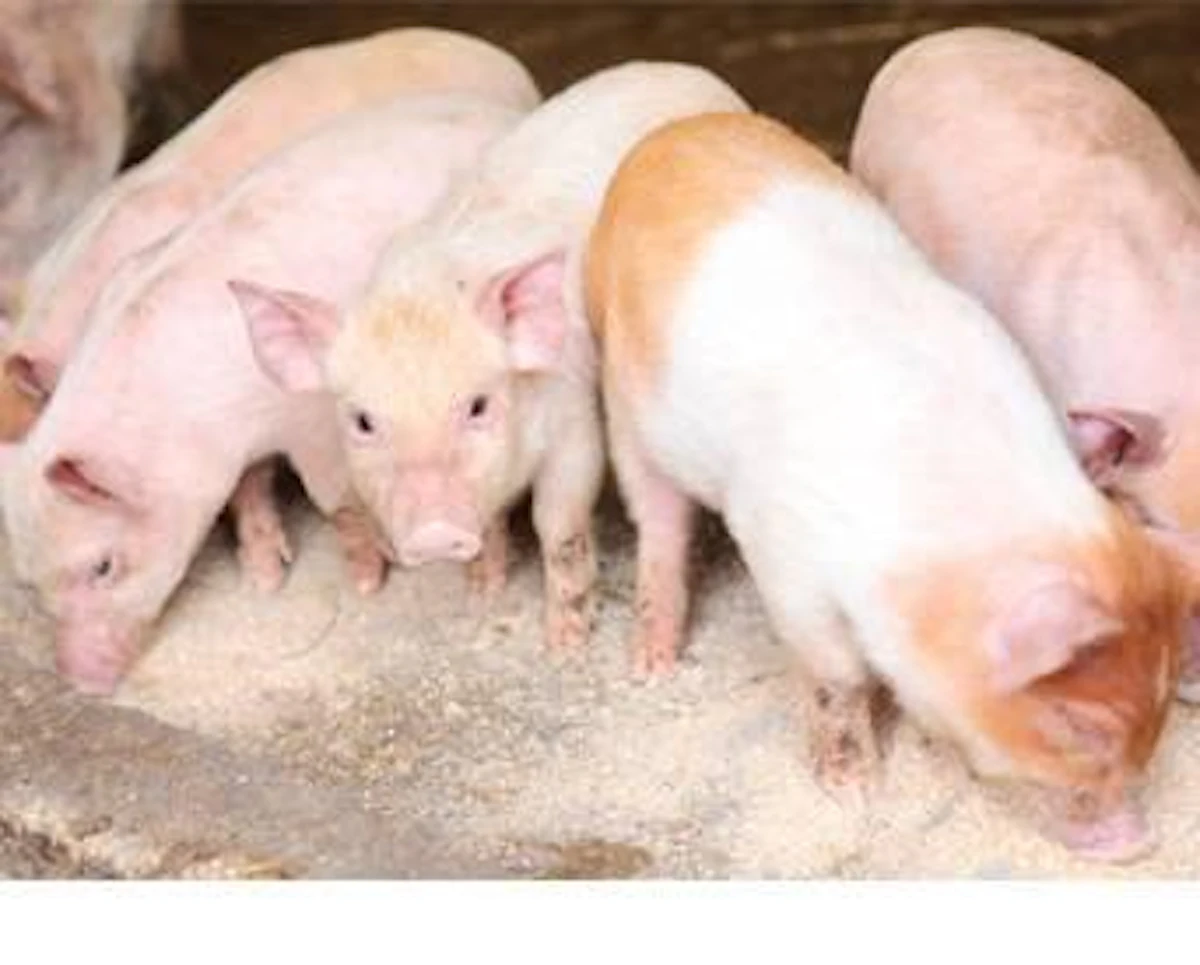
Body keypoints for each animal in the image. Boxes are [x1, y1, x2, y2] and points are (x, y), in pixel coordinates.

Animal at [2, 92, 529, 696]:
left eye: (102, 567)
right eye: (30, 582)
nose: (82, 683)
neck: (190, 417)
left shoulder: (316, 417)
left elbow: (335, 498)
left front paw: (369, 582)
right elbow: (248, 494)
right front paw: (263, 581)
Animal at [233, 62, 750, 655]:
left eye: (478, 405)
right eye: (363, 421)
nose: (435, 533)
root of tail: (680, 69)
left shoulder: (572, 414)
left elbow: (560, 522)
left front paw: (565, 644)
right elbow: (496, 519)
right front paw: (485, 591)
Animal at [585, 111, 1198, 862]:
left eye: (1161, 711)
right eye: (1077, 723)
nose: (1136, 844)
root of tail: (668, 137)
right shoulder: (786, 559)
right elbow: (836, 677)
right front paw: (856, 793)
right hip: (622, 391)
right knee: (658, 519)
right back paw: (652, 666)